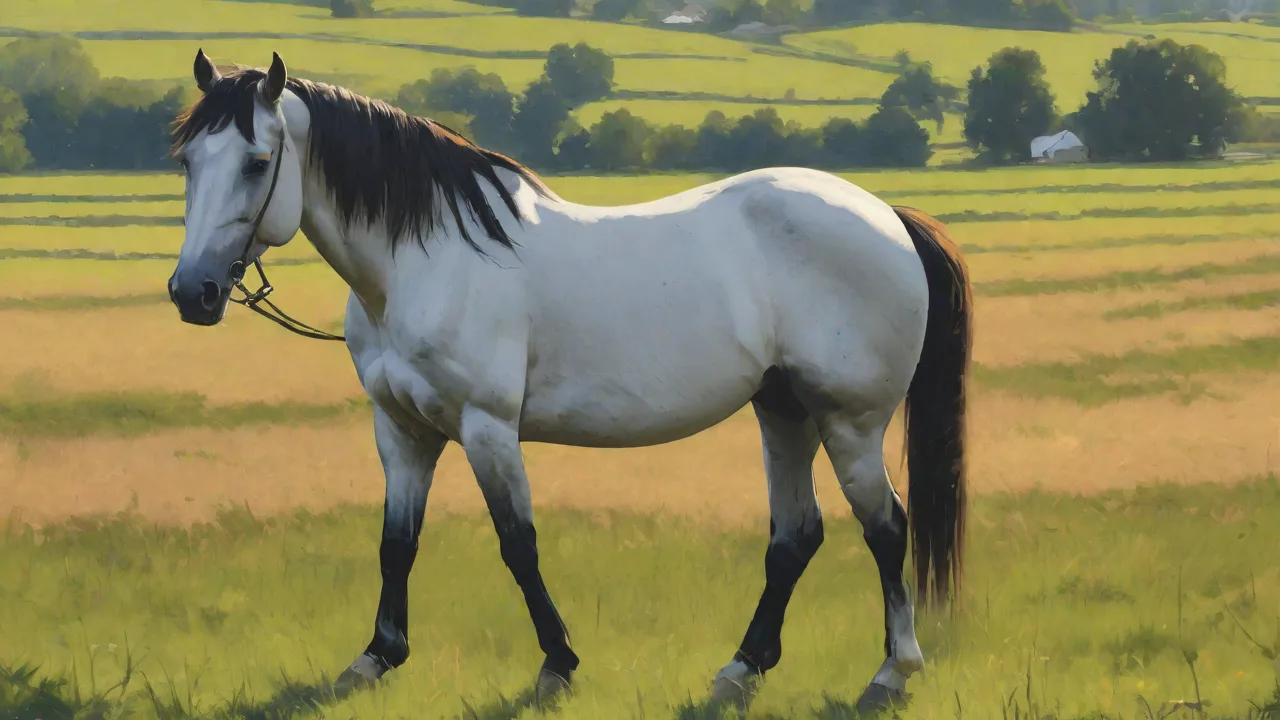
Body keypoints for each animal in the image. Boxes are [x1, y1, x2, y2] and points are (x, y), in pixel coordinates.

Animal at [166, 49, 973, 715]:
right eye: (188, 163)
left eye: (257, 161)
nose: (192, 293)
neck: (425, 264)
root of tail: (887, 215)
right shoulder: (402, 431)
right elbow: (397, 543)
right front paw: (375, 659)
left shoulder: (487, 428)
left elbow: (518, 544)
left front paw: (557, 666)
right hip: (784, 412)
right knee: (795, 538)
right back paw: (739, 672)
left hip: (850, 422)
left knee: (886, 527)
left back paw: (891, 674)